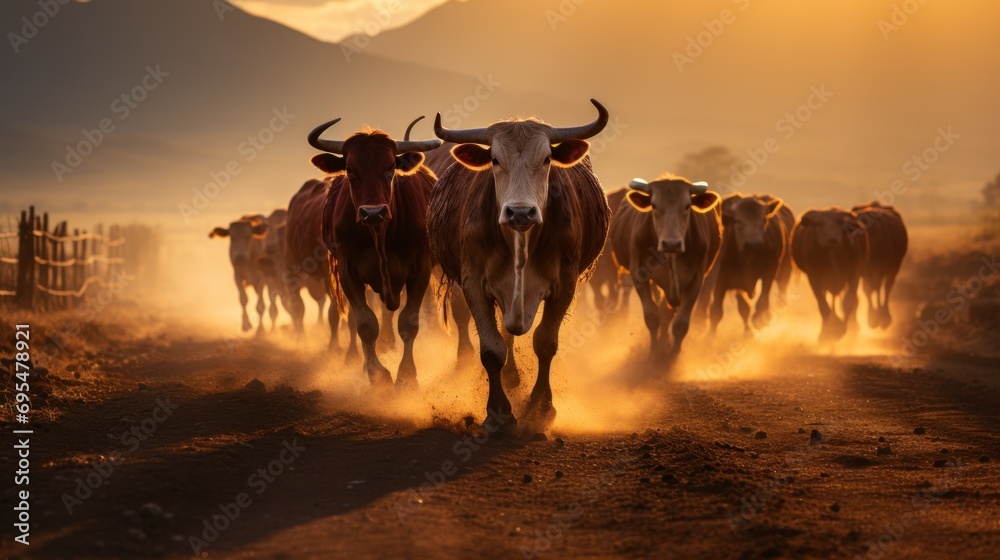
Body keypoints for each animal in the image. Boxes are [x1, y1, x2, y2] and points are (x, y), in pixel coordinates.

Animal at [307, 117, 441, 388]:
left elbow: (409, 323)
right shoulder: (348, 273)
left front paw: (407, 376)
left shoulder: (421, 270)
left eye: (390, 167)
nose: (373, 212)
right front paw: (377, 375)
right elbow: (366, 325)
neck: (380, 234)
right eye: (350, 169)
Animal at [428, 99, 612, 432]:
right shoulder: (474, 284)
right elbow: (492, 349)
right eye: (495, 160)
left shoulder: (564, 285)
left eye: (547, 158)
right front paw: (498, 412)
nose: (521, 212)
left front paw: (541, 406)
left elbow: (545, 343)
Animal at [610, 175, 722, 361]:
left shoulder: (697, 279)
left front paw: (672, 358)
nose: (671, 243)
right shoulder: (638, 273)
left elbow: (680, 324)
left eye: (687, 206)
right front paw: (655, 353)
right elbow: (653, 317)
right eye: (654, 205)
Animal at [705, 193, 788, 334]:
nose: (753, 244)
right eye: (738, 221)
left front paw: (758, 320)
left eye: (763, 220)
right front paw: (709, 337)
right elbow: (717, 312)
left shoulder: (769, 274)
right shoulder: (721, 281)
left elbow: (761, 303)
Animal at [790, 207, 868, 342]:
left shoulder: (854, 275)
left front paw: (841, 329)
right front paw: (828, 332)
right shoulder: (814, 278)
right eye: (818, 224)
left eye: (840, 224)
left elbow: (848, 302)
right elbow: (823, 305)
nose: (831, 240)